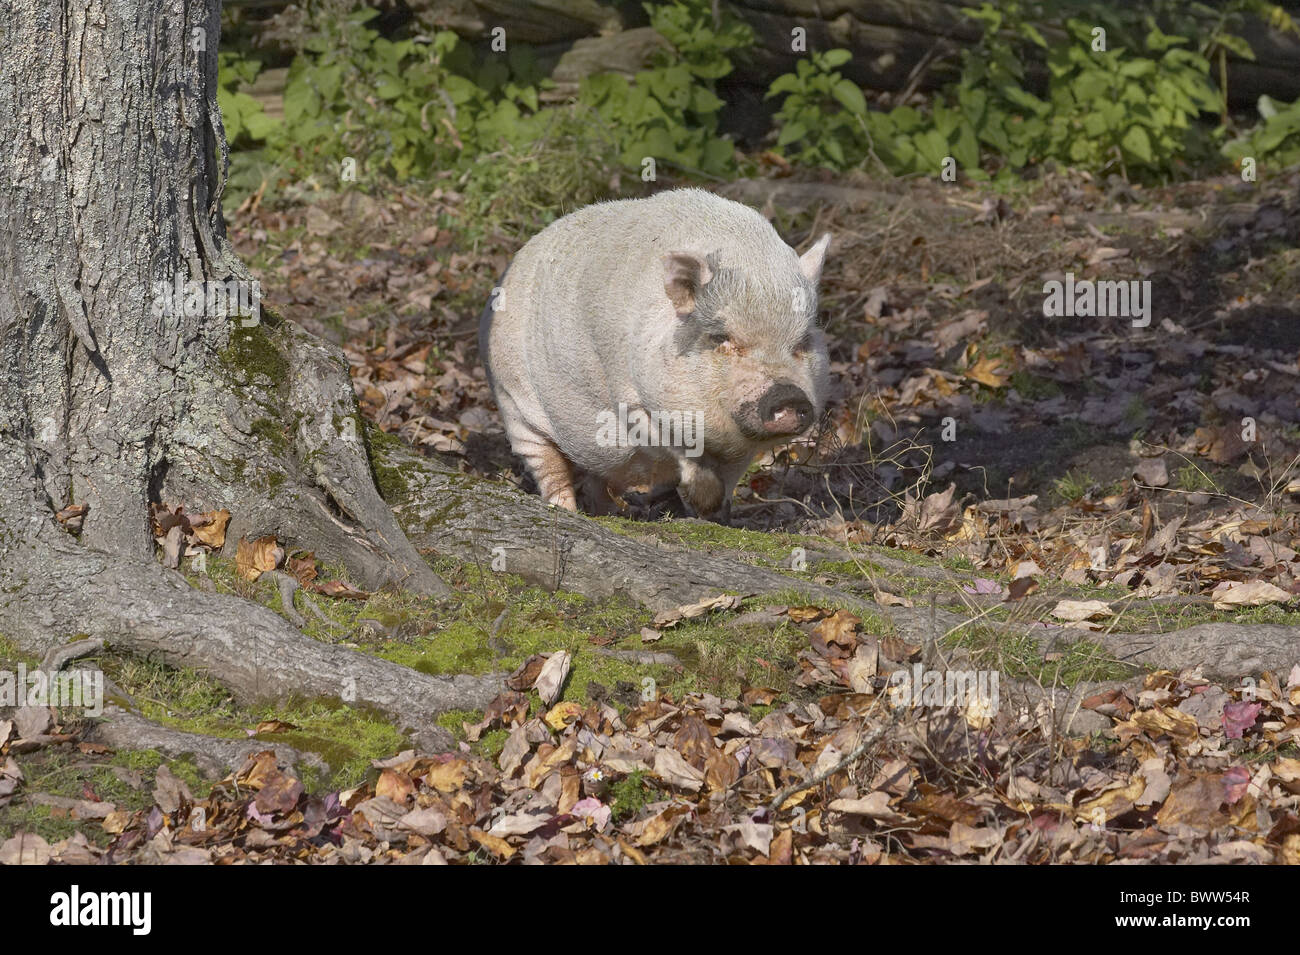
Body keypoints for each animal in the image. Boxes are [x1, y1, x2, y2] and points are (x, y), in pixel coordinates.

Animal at [479, 188, 830, 520]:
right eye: (721, 337)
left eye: (803, 341)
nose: (788, 395)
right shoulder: (631, 399)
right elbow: (679, 450)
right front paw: (703, 501)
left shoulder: (739, 449)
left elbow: (729, 477)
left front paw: (716, 516)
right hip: (513, 402)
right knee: (550, 470)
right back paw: (568, 511)